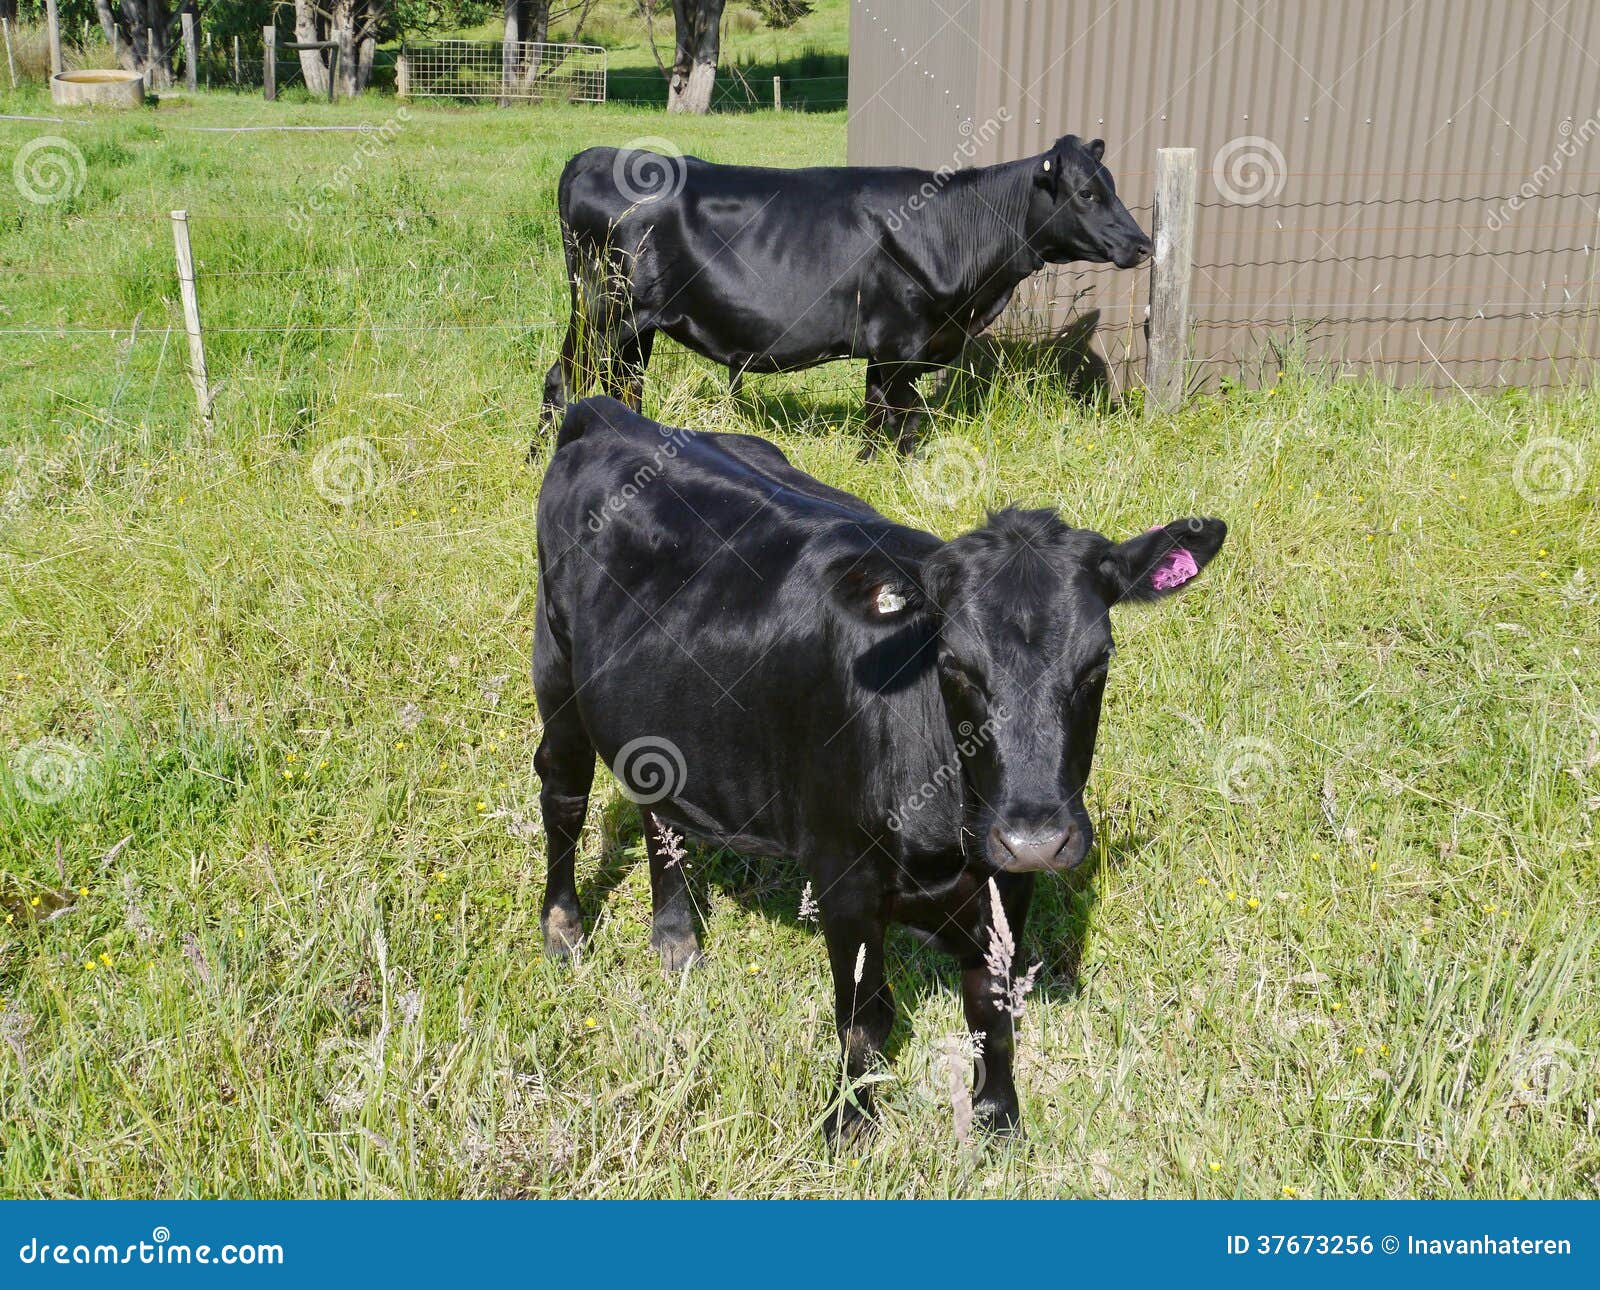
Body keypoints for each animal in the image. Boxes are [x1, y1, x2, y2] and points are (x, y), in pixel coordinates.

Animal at [532, 396, 1226, 1141]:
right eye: (954, 663)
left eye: (1098, 660)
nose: (1037, 838)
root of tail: (614, 415)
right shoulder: (842, 873)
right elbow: (865, 1016)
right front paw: (847, 1123)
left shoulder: (1007, 879)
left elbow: (990, 1006)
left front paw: (997, 1117)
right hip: (557, 668)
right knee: (564, 795)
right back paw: (563, 930)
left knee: (656, 800)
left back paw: (675, 939)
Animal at [541, 135, 1152, 453]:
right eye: (1088, 193)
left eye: (1111, 186)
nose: (1143, 244)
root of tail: (594, 155)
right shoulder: (903, 343)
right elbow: (901, 419)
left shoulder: (888, 350)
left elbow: (879, 414)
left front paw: (868, 466)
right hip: (602, 310)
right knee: (562, 377)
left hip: (638, 325)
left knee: (624, 386)